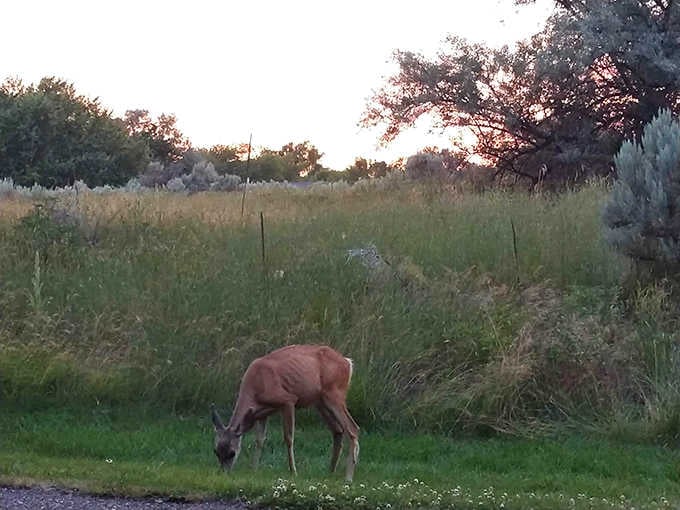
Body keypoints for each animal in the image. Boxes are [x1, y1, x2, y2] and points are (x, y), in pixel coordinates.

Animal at [211, 344, 360, 482]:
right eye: (216, 451)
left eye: (232, 453)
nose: (223, 473)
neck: (256, 385)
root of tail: (347, 362)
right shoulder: (260, 413)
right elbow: (259, 440)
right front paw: (254, 470)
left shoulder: (288, 400)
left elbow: (288, 438)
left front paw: (293, 471)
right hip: (320, 401)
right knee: (338, 430)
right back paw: (330, 472)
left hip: (334, 393)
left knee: (353, 428)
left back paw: (348, 477)